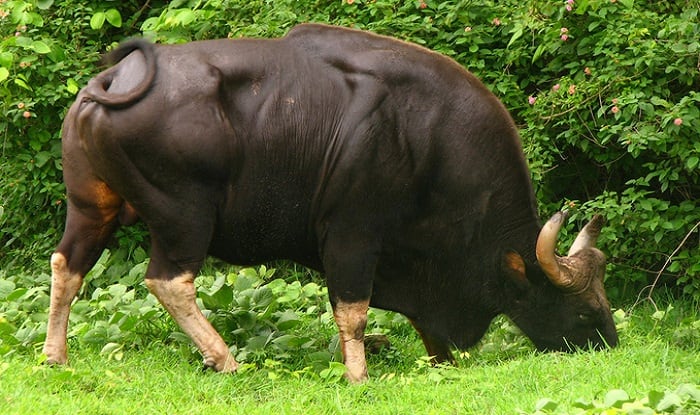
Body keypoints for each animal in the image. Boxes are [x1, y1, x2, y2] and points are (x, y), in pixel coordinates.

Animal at [43, 23, 618, 383]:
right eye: (585, 310)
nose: (609, 344)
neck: (434, 146)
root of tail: (112, 79)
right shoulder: (351, 235)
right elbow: (354, 312)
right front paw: (359, 377)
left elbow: (419, 319)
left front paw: (442, 362)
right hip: (185, 216)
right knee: (168, 280)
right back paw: (225, 360)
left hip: (92, 205)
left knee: (67, 265)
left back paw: (55, 357)